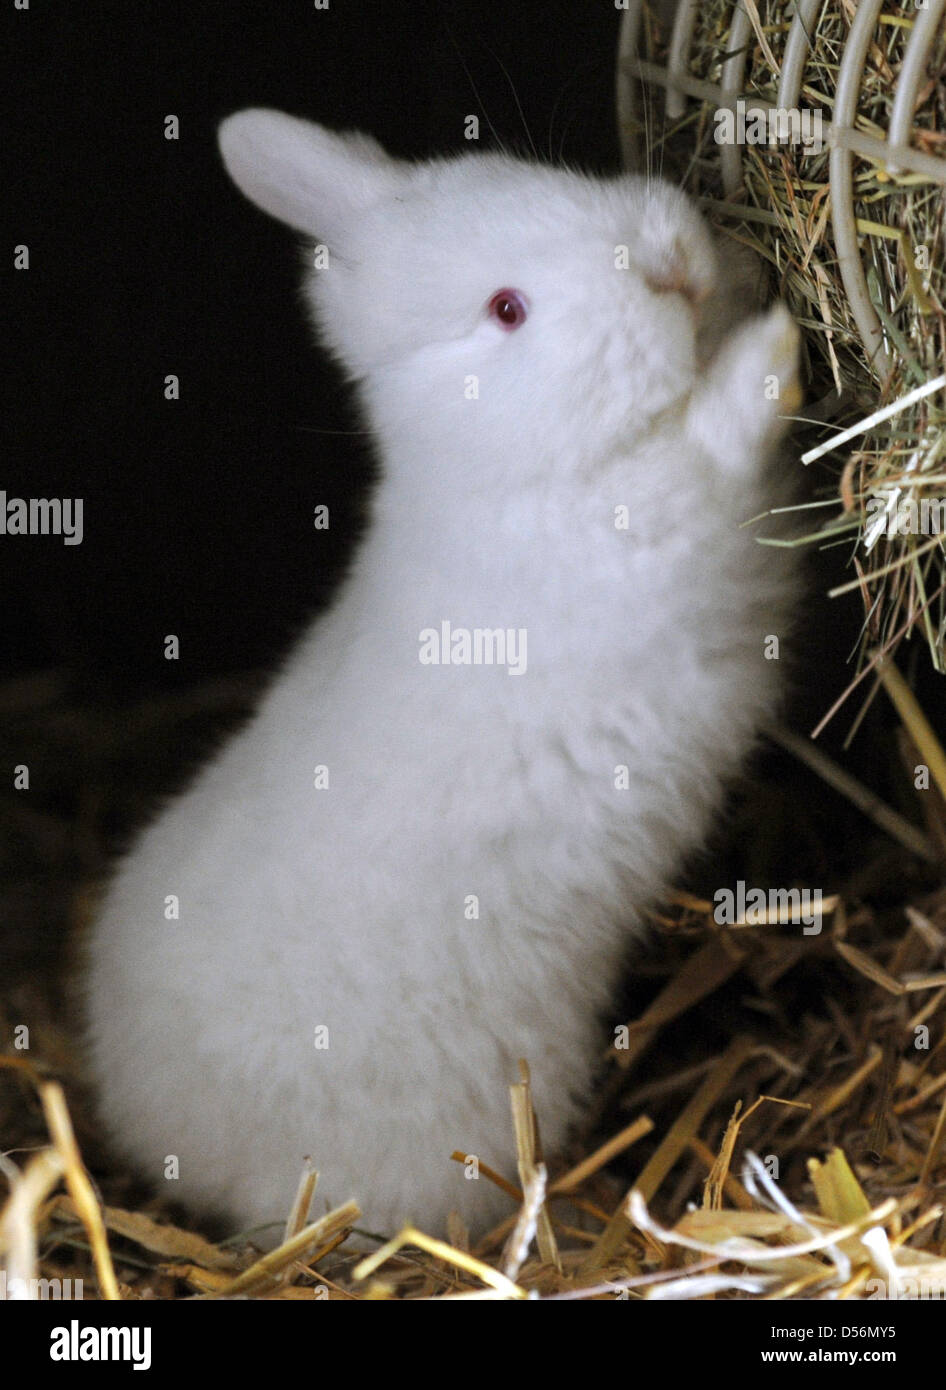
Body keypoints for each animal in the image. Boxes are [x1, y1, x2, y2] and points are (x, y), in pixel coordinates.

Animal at [82, 109, 801, 1245]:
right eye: (507, 309)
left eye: (541, 176)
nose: (667, 266)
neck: (506, 464)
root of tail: (176, 1151)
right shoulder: (667, 520)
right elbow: (717, 436)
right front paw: (775, 341)